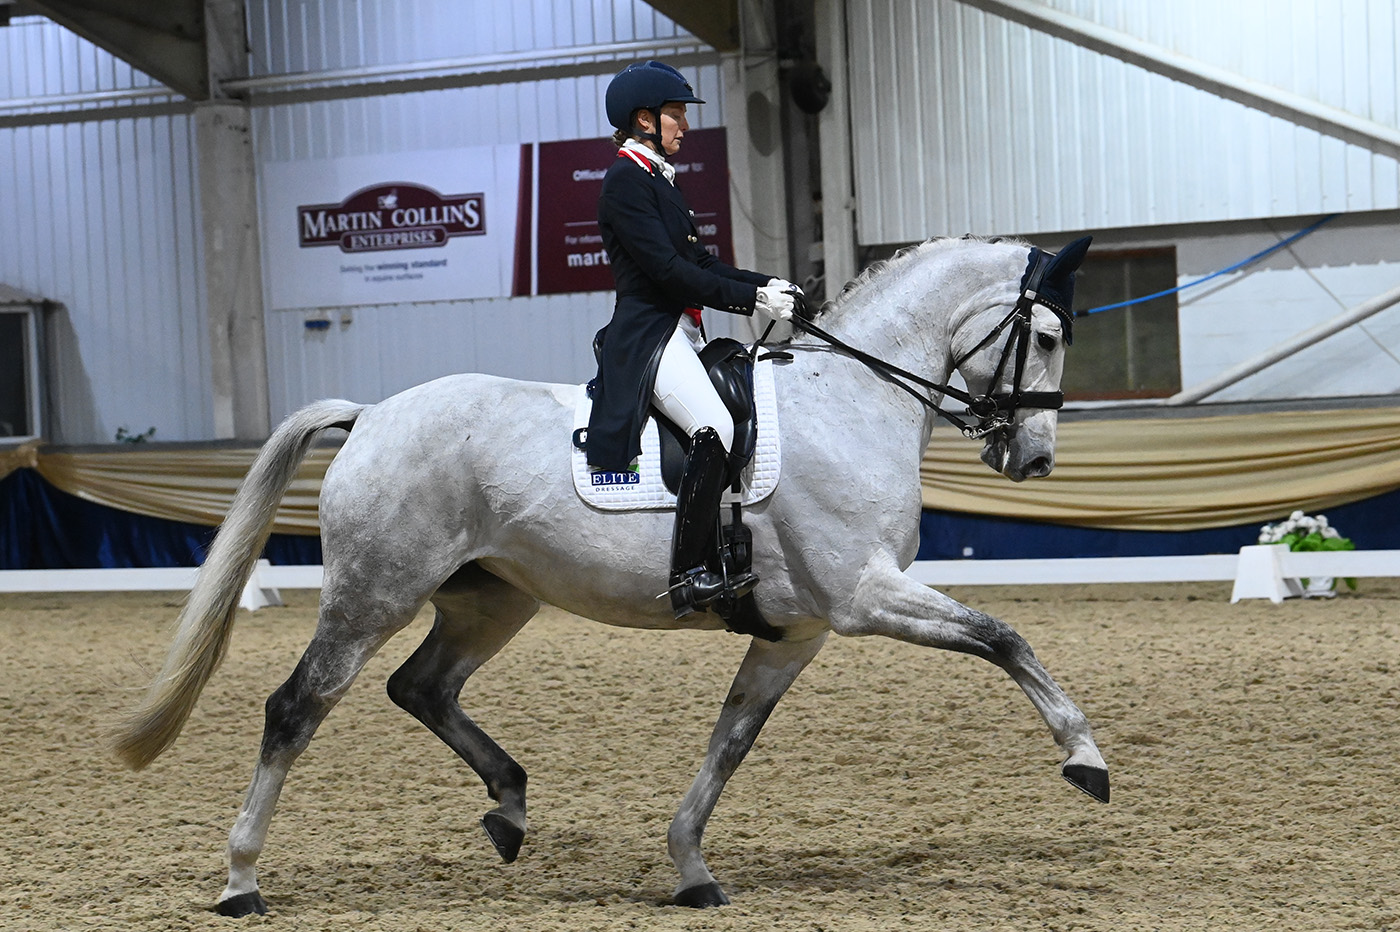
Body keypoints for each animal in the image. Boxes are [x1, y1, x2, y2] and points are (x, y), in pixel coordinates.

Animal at [110, 234, 1109, 916]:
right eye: (1047, 335)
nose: (1035, 459)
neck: (851, 403)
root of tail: (371, 415)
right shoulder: (863, 598)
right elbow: (1005, 637)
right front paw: (1085, 759)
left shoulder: (797, 633)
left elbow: (730, 743)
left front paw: (692, 868)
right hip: (372, 594)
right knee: (297, 707)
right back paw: (241, 879)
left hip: (490, 601)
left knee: (421, 687)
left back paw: (510, 809)